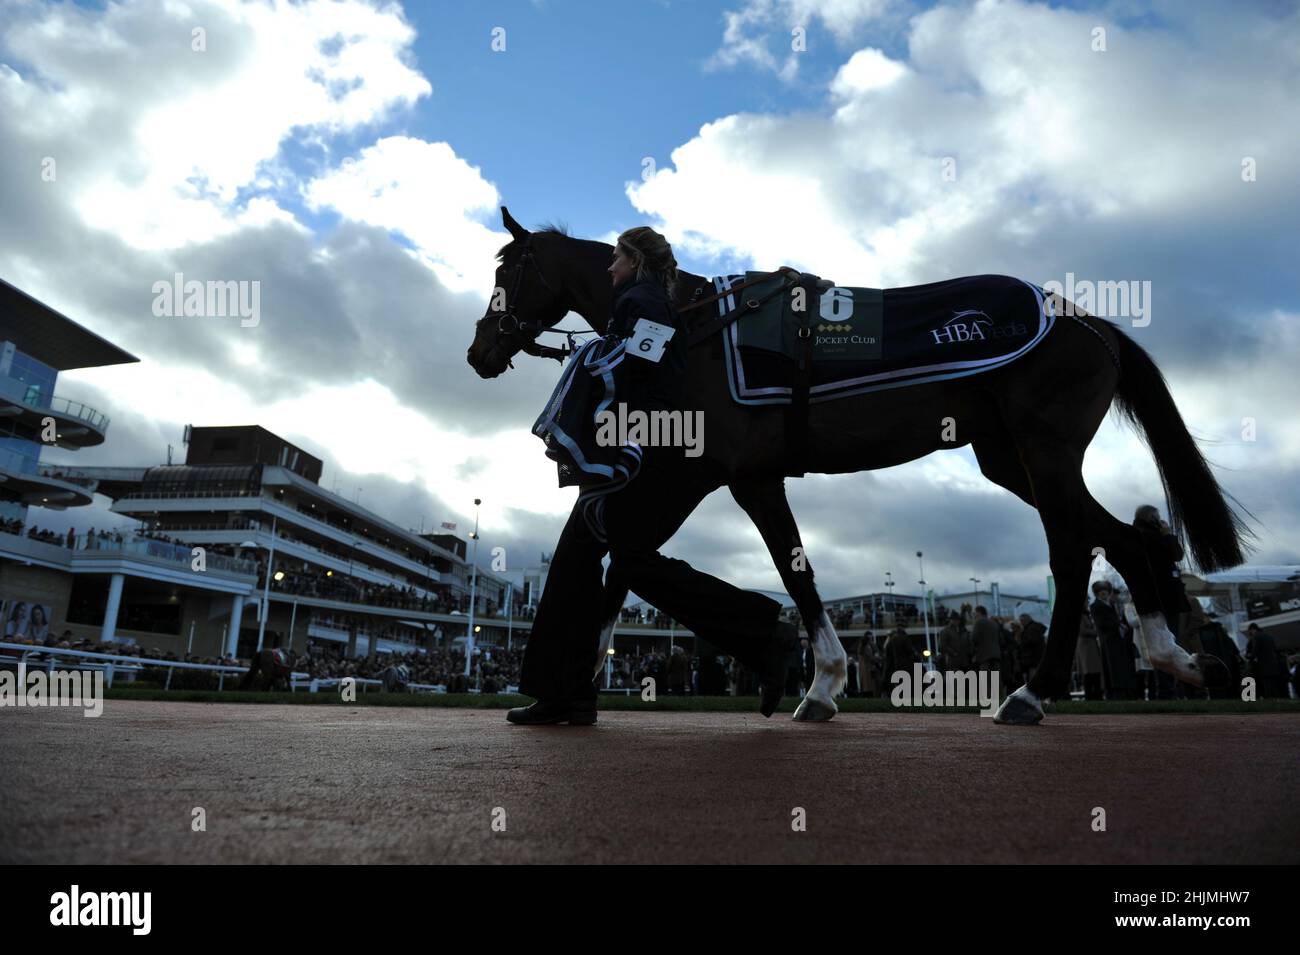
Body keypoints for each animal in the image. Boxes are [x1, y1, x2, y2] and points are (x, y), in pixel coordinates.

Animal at [466, 206, 1251, 724]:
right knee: (1119, 539)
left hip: (1046, 452)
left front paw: (819, 684)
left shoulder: (721, 474)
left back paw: (1034, 691)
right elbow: (734, 563)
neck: (692, 327)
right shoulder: (732, 476)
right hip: (1011, 460)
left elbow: (781, 569)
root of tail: (1087, 320)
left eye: (507, 270)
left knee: (1073, 551)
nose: (478, 350)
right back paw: (1178, 658)